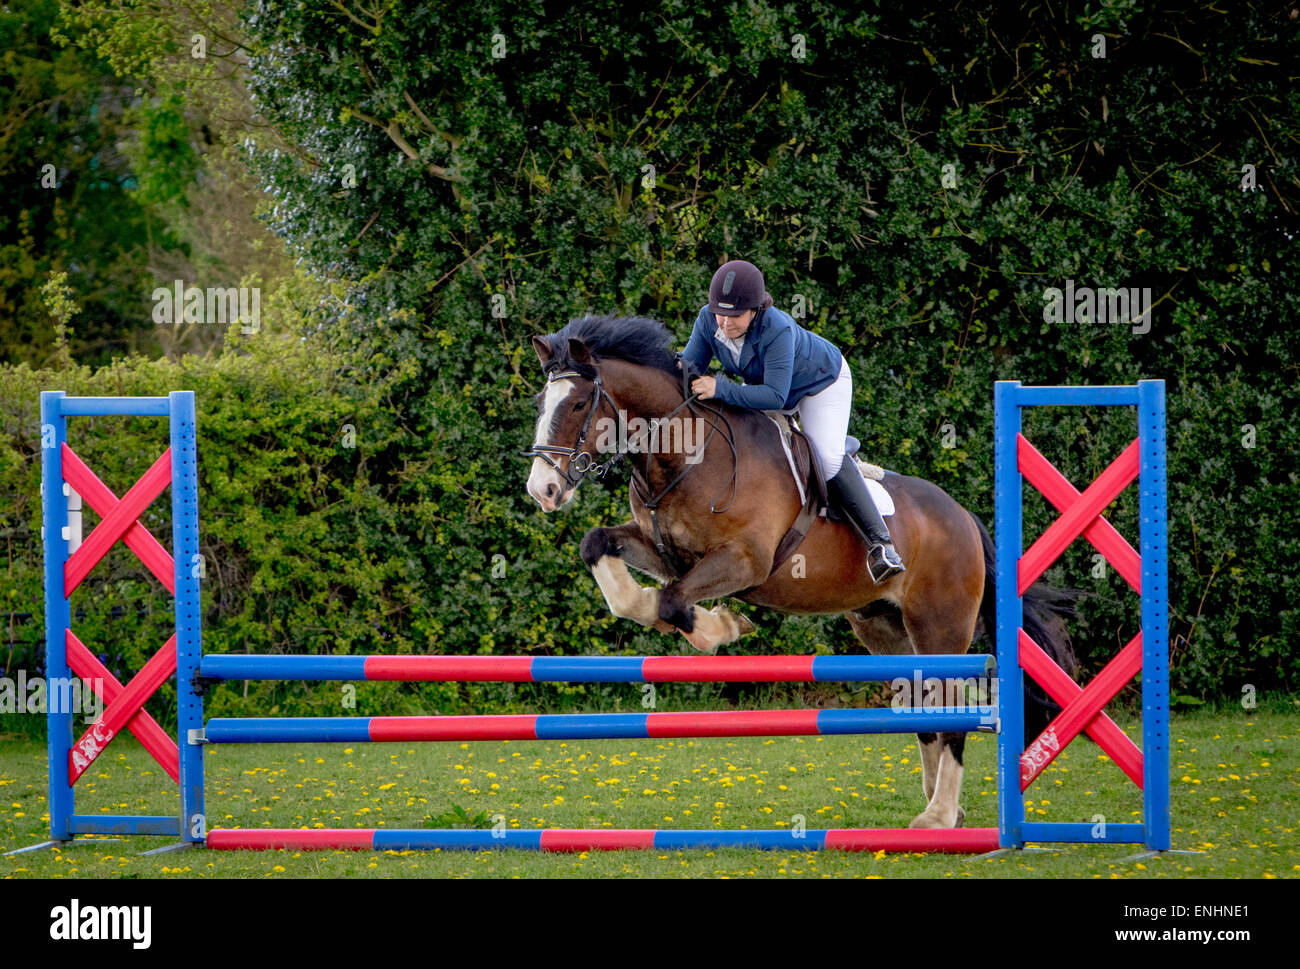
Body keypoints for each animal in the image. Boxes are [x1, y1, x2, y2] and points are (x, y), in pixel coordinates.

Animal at [522, 314, 1076, 829]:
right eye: (540, 403)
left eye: (577, 405)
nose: (542, 490)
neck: (686, 454)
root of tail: (963, 518)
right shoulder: (667, 554)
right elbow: (602, 551)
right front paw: (651, 611)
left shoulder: (746, 560)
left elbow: (677, 599)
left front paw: (719, 628)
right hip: (884, 628)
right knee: (925, 704)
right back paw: (944, 807)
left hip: (941, 624)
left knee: (954, 706)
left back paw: (938, 816)